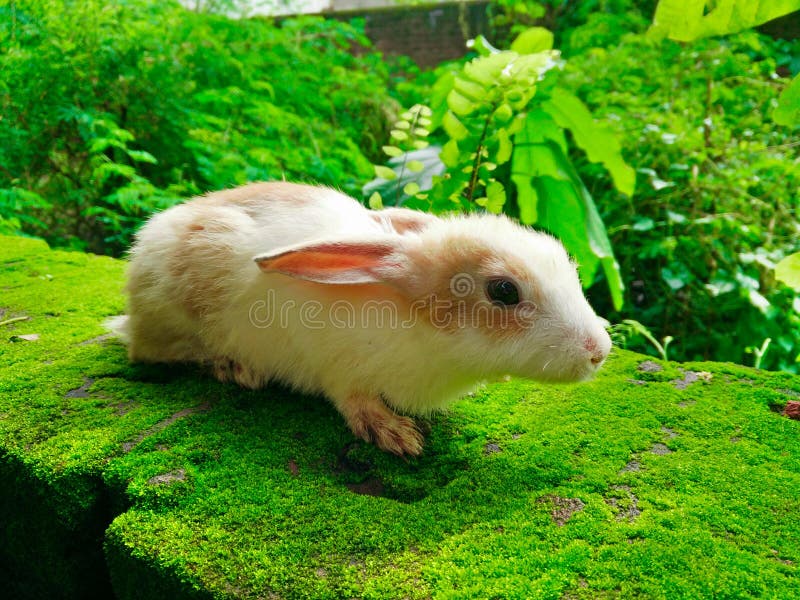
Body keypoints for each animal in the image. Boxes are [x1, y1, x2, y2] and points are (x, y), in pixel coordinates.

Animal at [109, 181, 612, 456]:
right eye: (503, 291)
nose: (599, 352)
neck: (418, 325)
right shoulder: (338, 371)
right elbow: (354, 402)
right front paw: (396, 435)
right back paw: (235, 368)